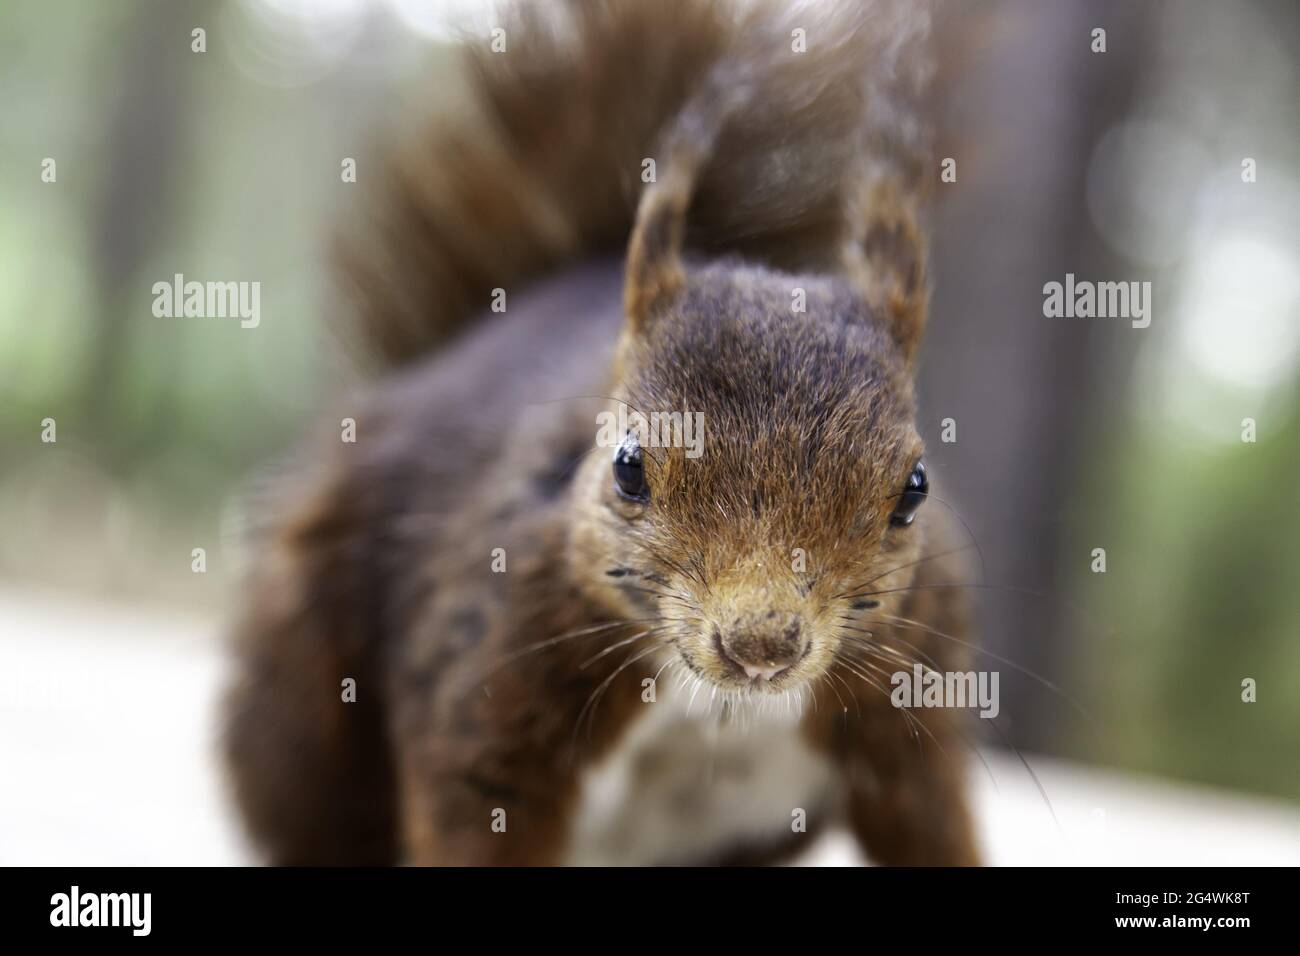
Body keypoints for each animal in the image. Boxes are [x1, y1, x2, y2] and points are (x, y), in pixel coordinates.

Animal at [222, 0, 980, 866]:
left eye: (914, 493)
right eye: (627, 468)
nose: (762, 645)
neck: (710, 702)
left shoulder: (909, 712)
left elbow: (929, 821)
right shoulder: (490, 676)